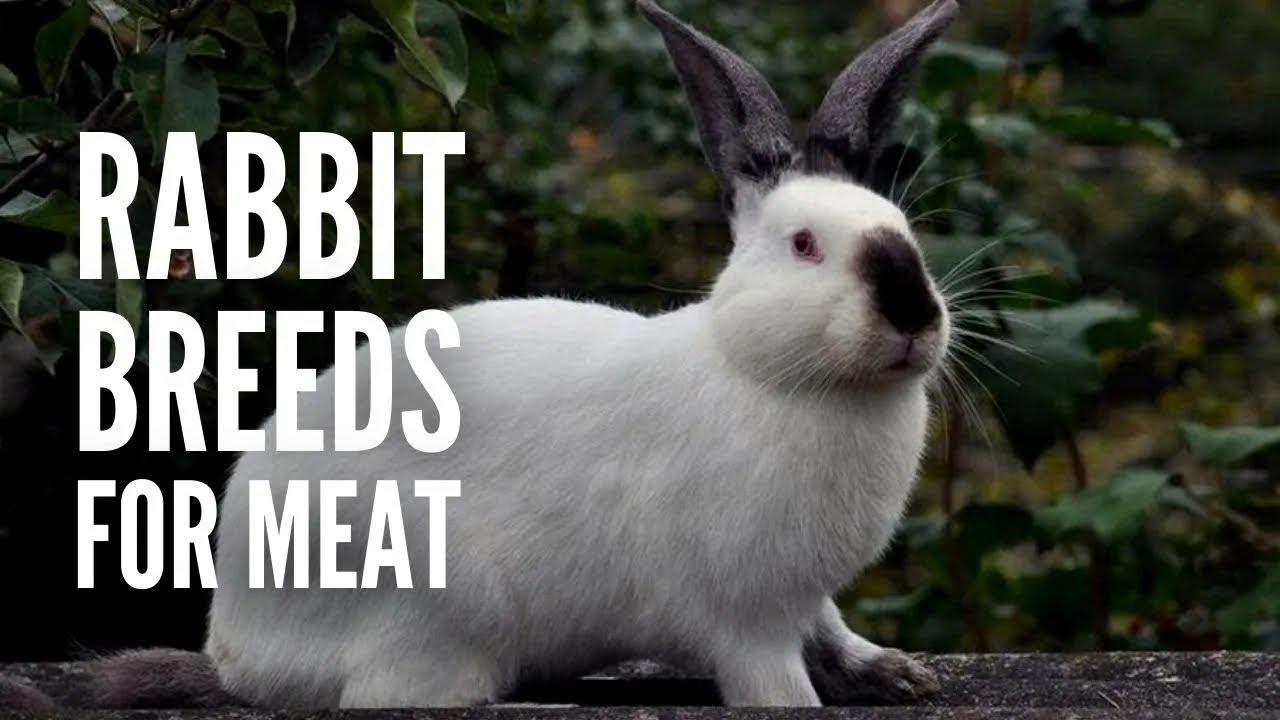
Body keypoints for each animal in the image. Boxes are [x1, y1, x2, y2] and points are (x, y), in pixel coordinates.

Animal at [0, 0, 960, 711]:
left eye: (905, 234)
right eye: (804, 245)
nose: (914, 314)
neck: (767, 370)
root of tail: (239, 656)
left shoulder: (806, 598)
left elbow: (831, 630)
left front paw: (896, 675)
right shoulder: (747, 615)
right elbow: (774, 681)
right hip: (432, 610)